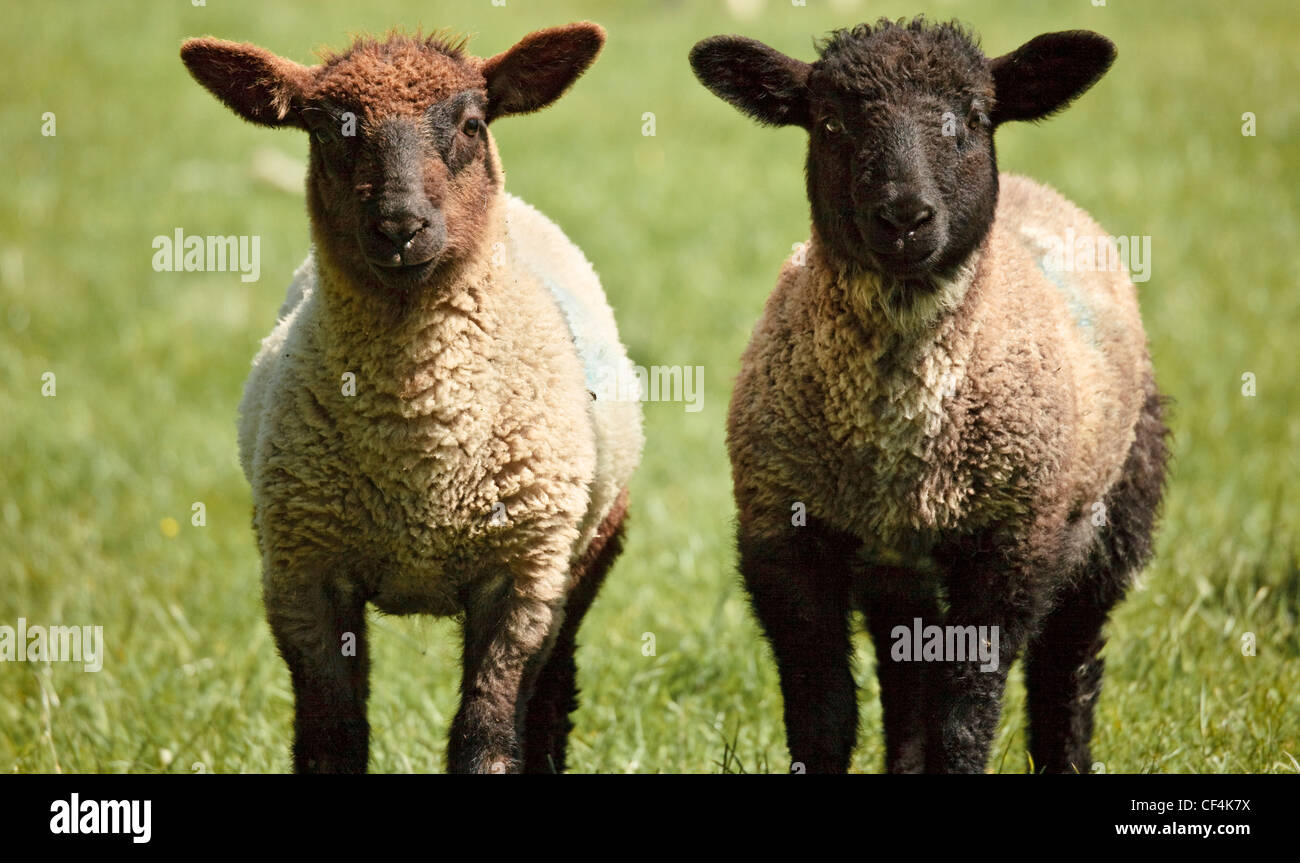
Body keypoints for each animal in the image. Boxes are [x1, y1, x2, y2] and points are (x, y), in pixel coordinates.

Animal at [180, 23, 643, 773]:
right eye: (325, 129)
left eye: (473, 123)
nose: (400, 226)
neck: (421, 448)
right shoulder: (304, 574)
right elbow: (331, 741)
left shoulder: (522, 579)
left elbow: (486, 738)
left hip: (590, 544)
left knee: (554, 692)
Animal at [690, 18, 1169, 773]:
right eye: (830, 122)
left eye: (974, 118)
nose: (905, 218)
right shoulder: (781, 538)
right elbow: (823, 715)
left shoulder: (1011, 543)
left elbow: (965, 718)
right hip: (900, 571)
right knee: (908, 681)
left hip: (1114, 507)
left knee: (1069, 664)